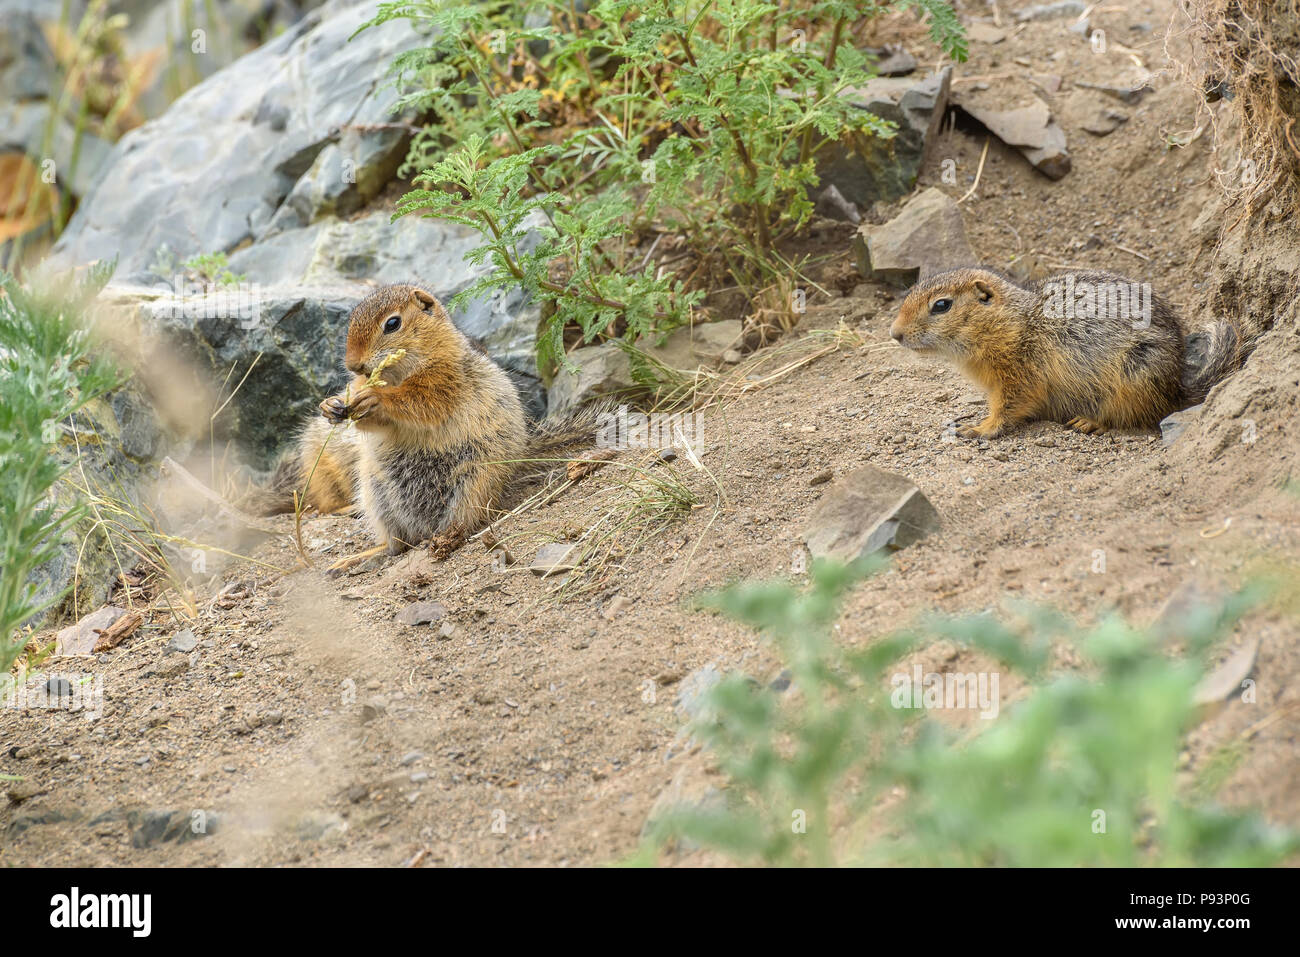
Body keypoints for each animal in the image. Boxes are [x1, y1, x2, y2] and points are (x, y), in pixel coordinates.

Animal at [267, 283, 604, 560]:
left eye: (392, 323)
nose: (353, 365)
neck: (397, 374)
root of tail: (422, 530)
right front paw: (332, 405)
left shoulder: (445, 379)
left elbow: (422, 403)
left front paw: (377, 399)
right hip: (375, 494)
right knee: (396, 544)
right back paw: (357, 558)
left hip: (472, 483)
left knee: (460, 521)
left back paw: (445, 538)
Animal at [889, 267, 1245, 438]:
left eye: (941, 305)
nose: (895, 333)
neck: (1019, 322)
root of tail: (1177, 386)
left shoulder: (1021, 375)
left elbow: (1008, 407)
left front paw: (978, 428)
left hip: (1135, 374)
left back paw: (1090, 422)